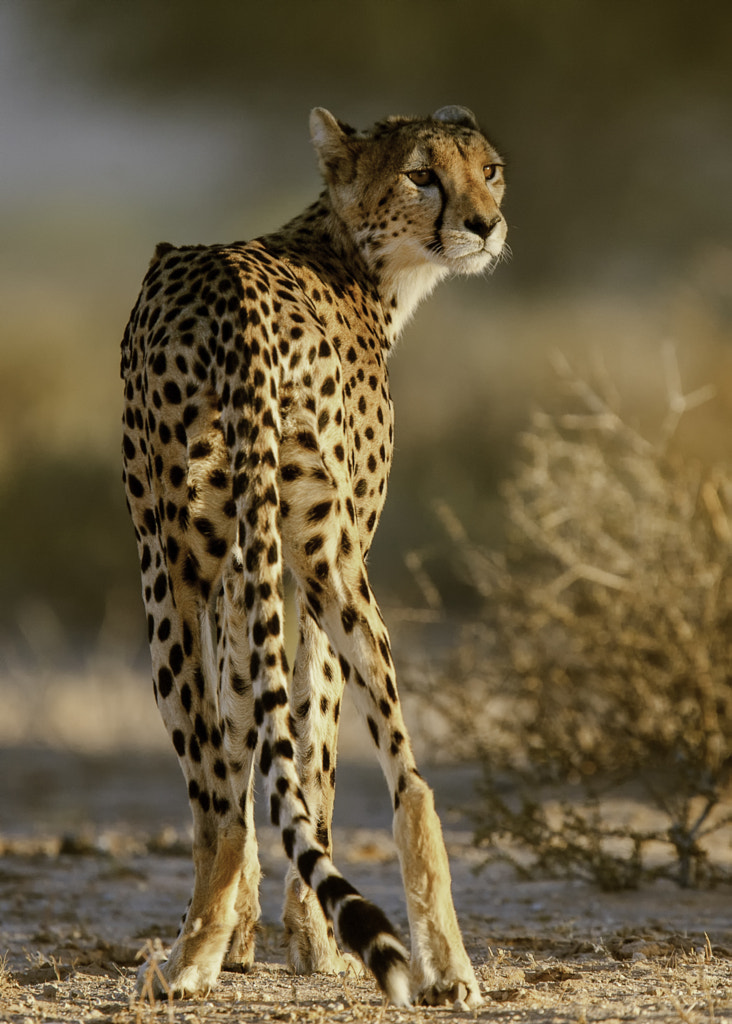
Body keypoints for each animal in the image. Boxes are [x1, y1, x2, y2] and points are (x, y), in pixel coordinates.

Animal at [121, 104, 507, 1009]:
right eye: (421, 174)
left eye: (490, 169)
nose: (485, 225)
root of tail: (234, 299)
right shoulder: (283, 565)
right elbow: (282, 733)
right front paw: (294, 940)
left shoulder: (258, 568)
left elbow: (269, 735)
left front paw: (282, 942)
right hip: (295, 563)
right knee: (400, 775)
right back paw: (447, 970)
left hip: (185, 565)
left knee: (221, 797)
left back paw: (193, 958)